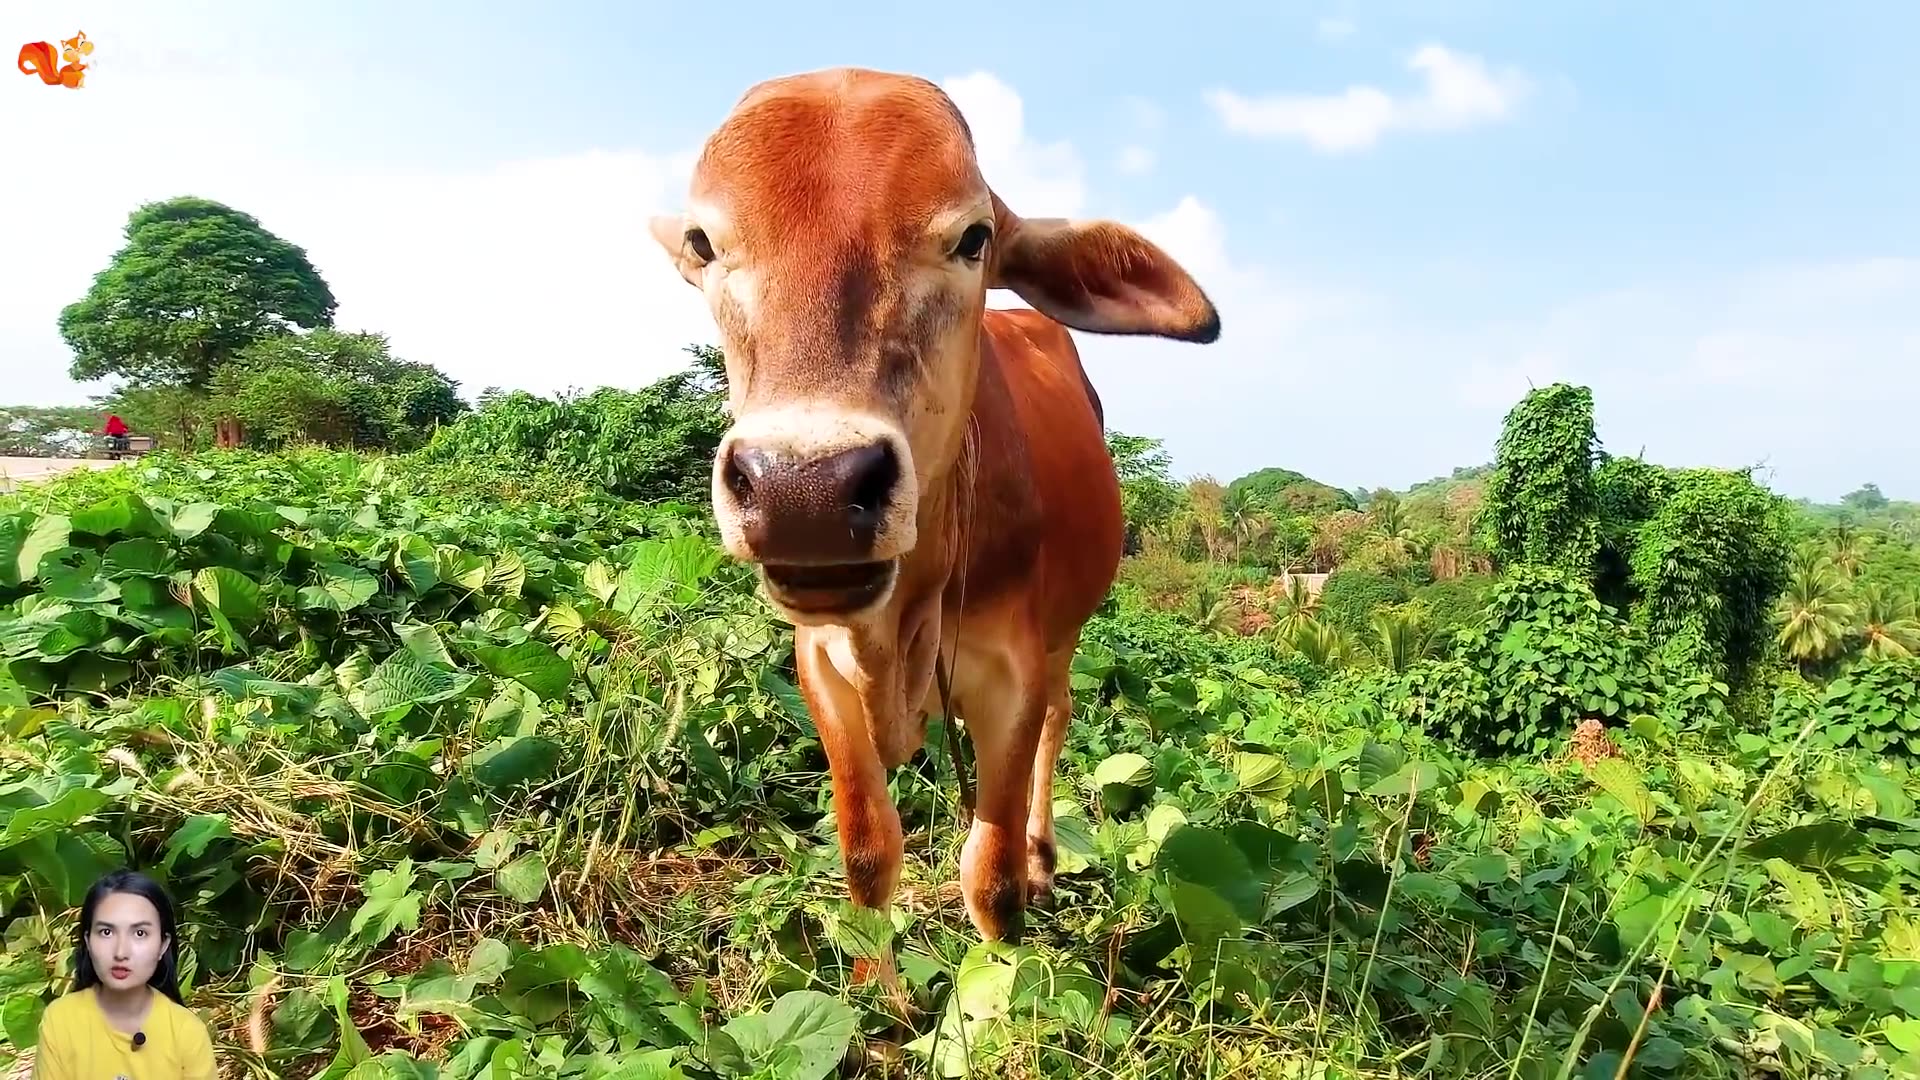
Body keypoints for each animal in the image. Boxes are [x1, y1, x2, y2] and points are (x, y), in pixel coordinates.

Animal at [648, 67, 1220, 961]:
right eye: (704, 243)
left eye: (973, 238)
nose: (804, 491)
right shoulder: (820, 662)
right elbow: (866, 852)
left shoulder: (1011, 673)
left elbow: (991, 879)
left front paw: (1000, 985)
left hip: (1064, 635)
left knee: (1059, 719)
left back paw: (1045, 853)